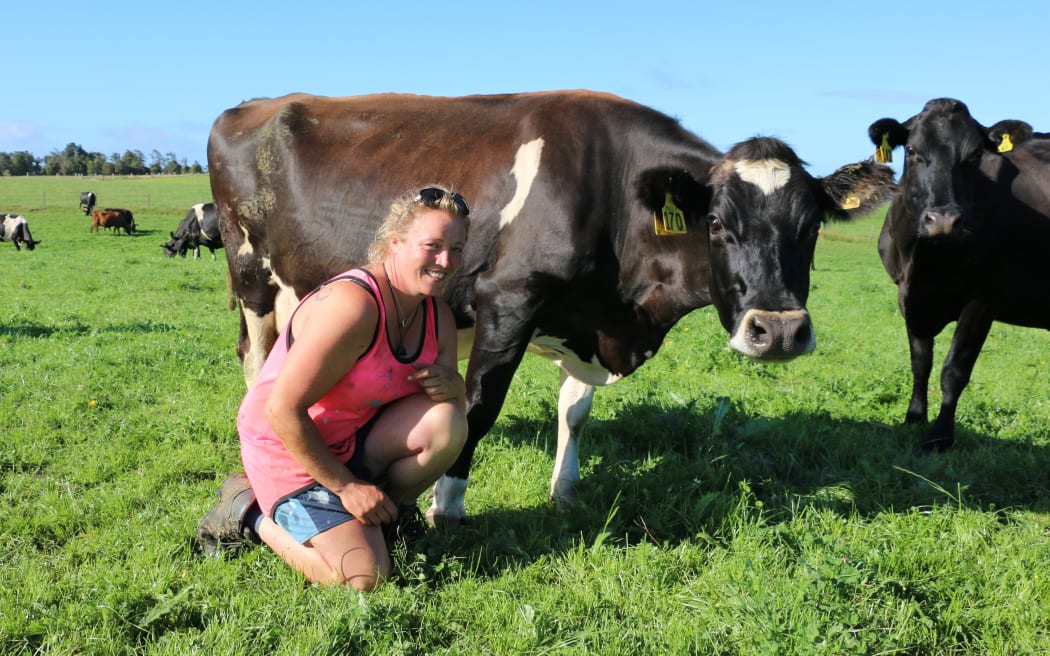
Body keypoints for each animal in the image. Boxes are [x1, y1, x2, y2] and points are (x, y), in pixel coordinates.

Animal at [209, 90, 895, 524]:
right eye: (718, 223)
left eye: (811, 226)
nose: (778, 331)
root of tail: (258, 104)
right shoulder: (508, 300)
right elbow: (478, 409)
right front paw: (447, 505)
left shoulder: (588, 323)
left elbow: (576, 411)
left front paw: (564, 490)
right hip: (252, 277)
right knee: (258, 362)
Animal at [869, 97, 1050, 453]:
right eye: (912, 150)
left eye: (975, 155)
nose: (943, 220)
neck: (925, 262)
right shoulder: (908, 296)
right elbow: (920, 361)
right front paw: (914, 418)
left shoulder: (983, 299)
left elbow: (954, 371)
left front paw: (939, 437)